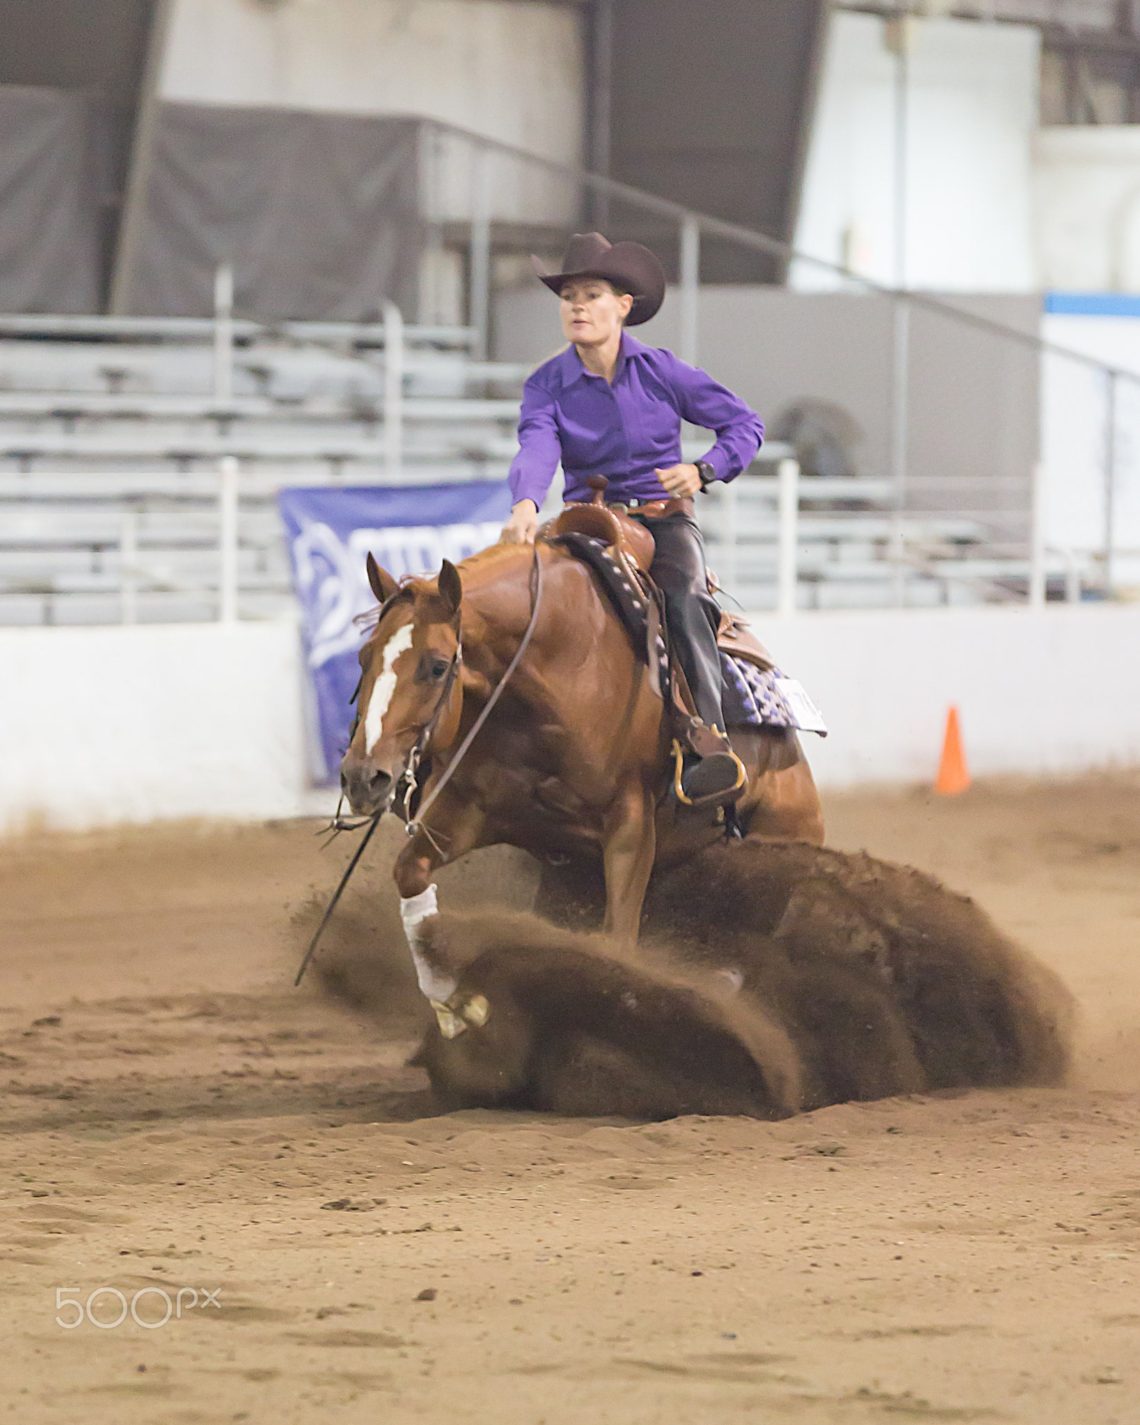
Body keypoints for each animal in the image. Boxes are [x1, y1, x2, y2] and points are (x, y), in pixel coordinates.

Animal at [339, 531, 822, 1009]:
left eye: (438, 666)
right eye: (363, 658)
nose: (362, 777)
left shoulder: (630, 827)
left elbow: (618, 942)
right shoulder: (465, 812)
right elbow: (410, 874)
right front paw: (451, 1006)